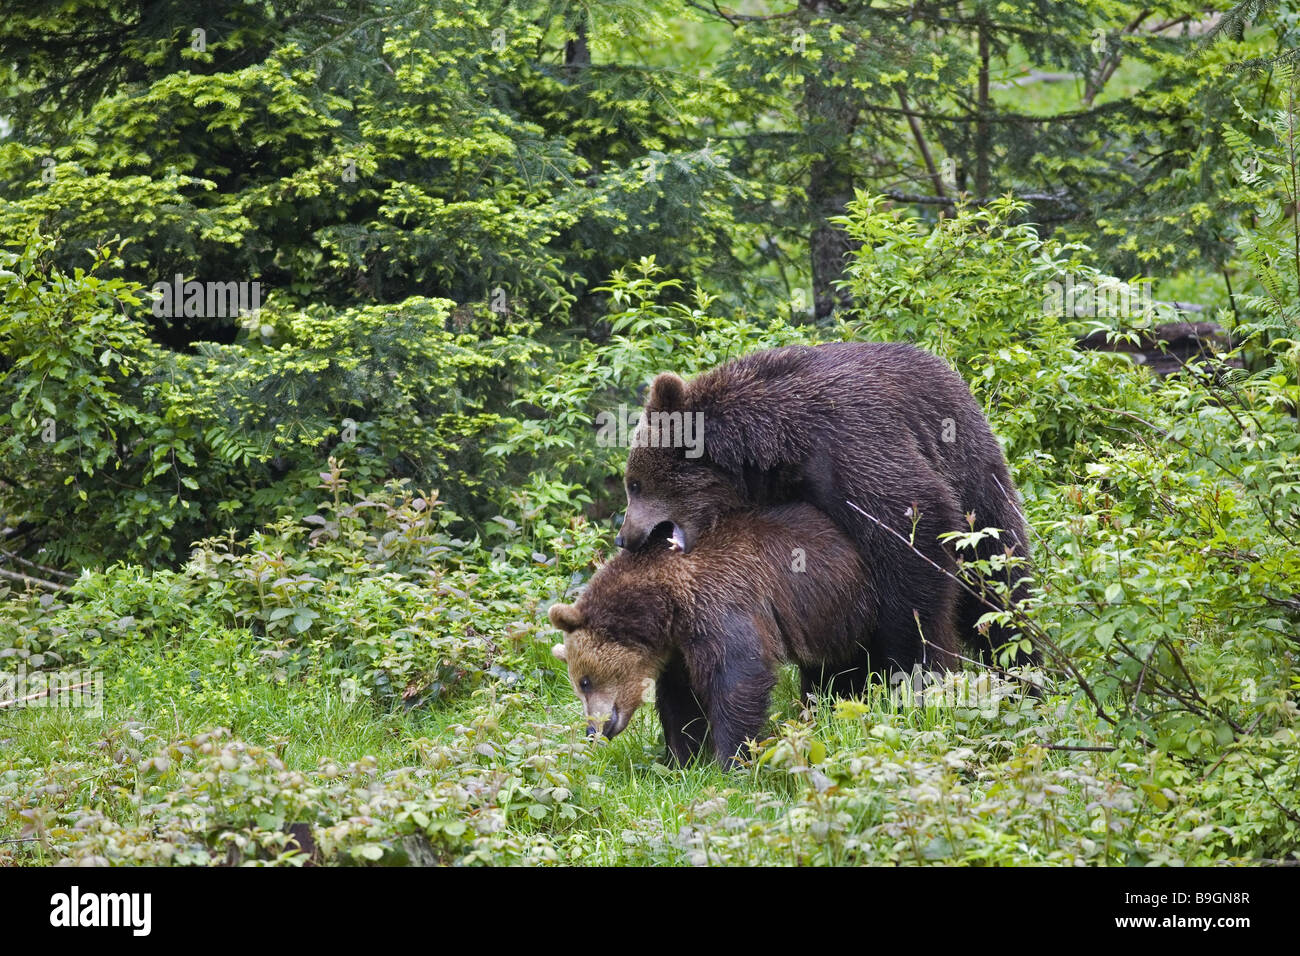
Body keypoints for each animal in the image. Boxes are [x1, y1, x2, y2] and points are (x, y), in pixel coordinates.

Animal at [549, 502, 959, 768]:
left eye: (583, 680)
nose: (594, 730)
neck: (665, 604)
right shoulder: (681, 645)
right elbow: (682, 698)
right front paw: (681, 757)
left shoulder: (723, 601)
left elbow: (738, 678)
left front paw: (730, 759)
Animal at [616, 341, 1033, 672]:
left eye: (634, 484)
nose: (624, 536)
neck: (773, 445)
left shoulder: (848, 443)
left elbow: (915, 528)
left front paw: (909, 659)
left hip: (972, 474)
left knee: (999, 574)